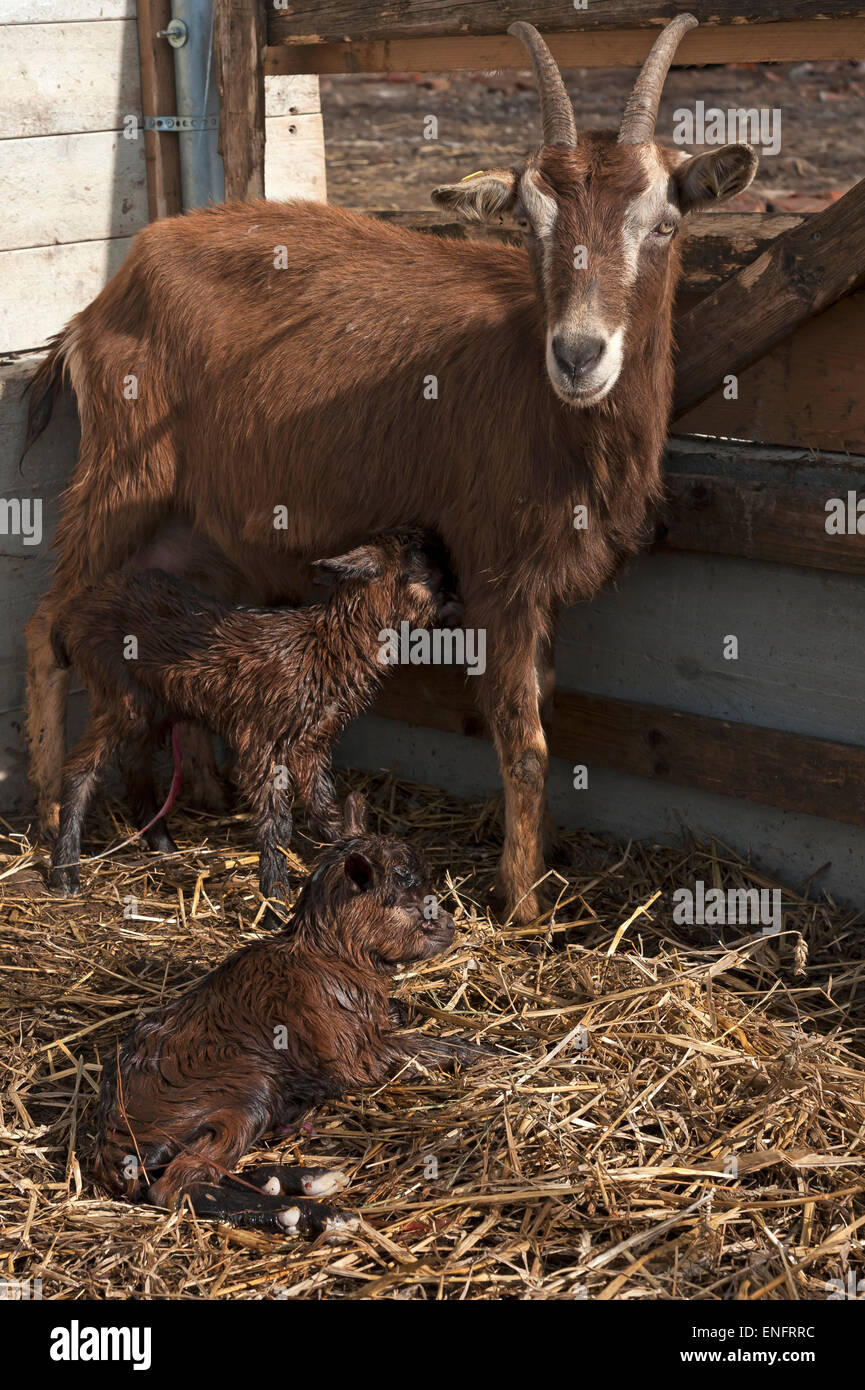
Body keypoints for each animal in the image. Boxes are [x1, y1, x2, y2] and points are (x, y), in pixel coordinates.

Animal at [48, 530, 454, 915]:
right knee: (80, 767)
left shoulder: (312, 743)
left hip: (157, 702)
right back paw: (65, 872)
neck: (325, 648)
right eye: (423, 573)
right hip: (118, 690)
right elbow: (277, 824)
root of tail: (71, 615)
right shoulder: (261, 739)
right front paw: (275, 904)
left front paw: (352, 851)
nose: (455, 602)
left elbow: (323, 807)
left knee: (134, 760)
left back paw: (162, 843)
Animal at [91, 793, 484, 1237]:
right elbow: (428, 1047)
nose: (449, 926)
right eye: (408, 900)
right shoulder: (355, 1055)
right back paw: (313, 1212)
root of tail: (113, 1138)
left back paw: (306, 1179)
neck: (328, 956)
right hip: (243, 1091)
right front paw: (496, 1054)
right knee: (177, 1185)